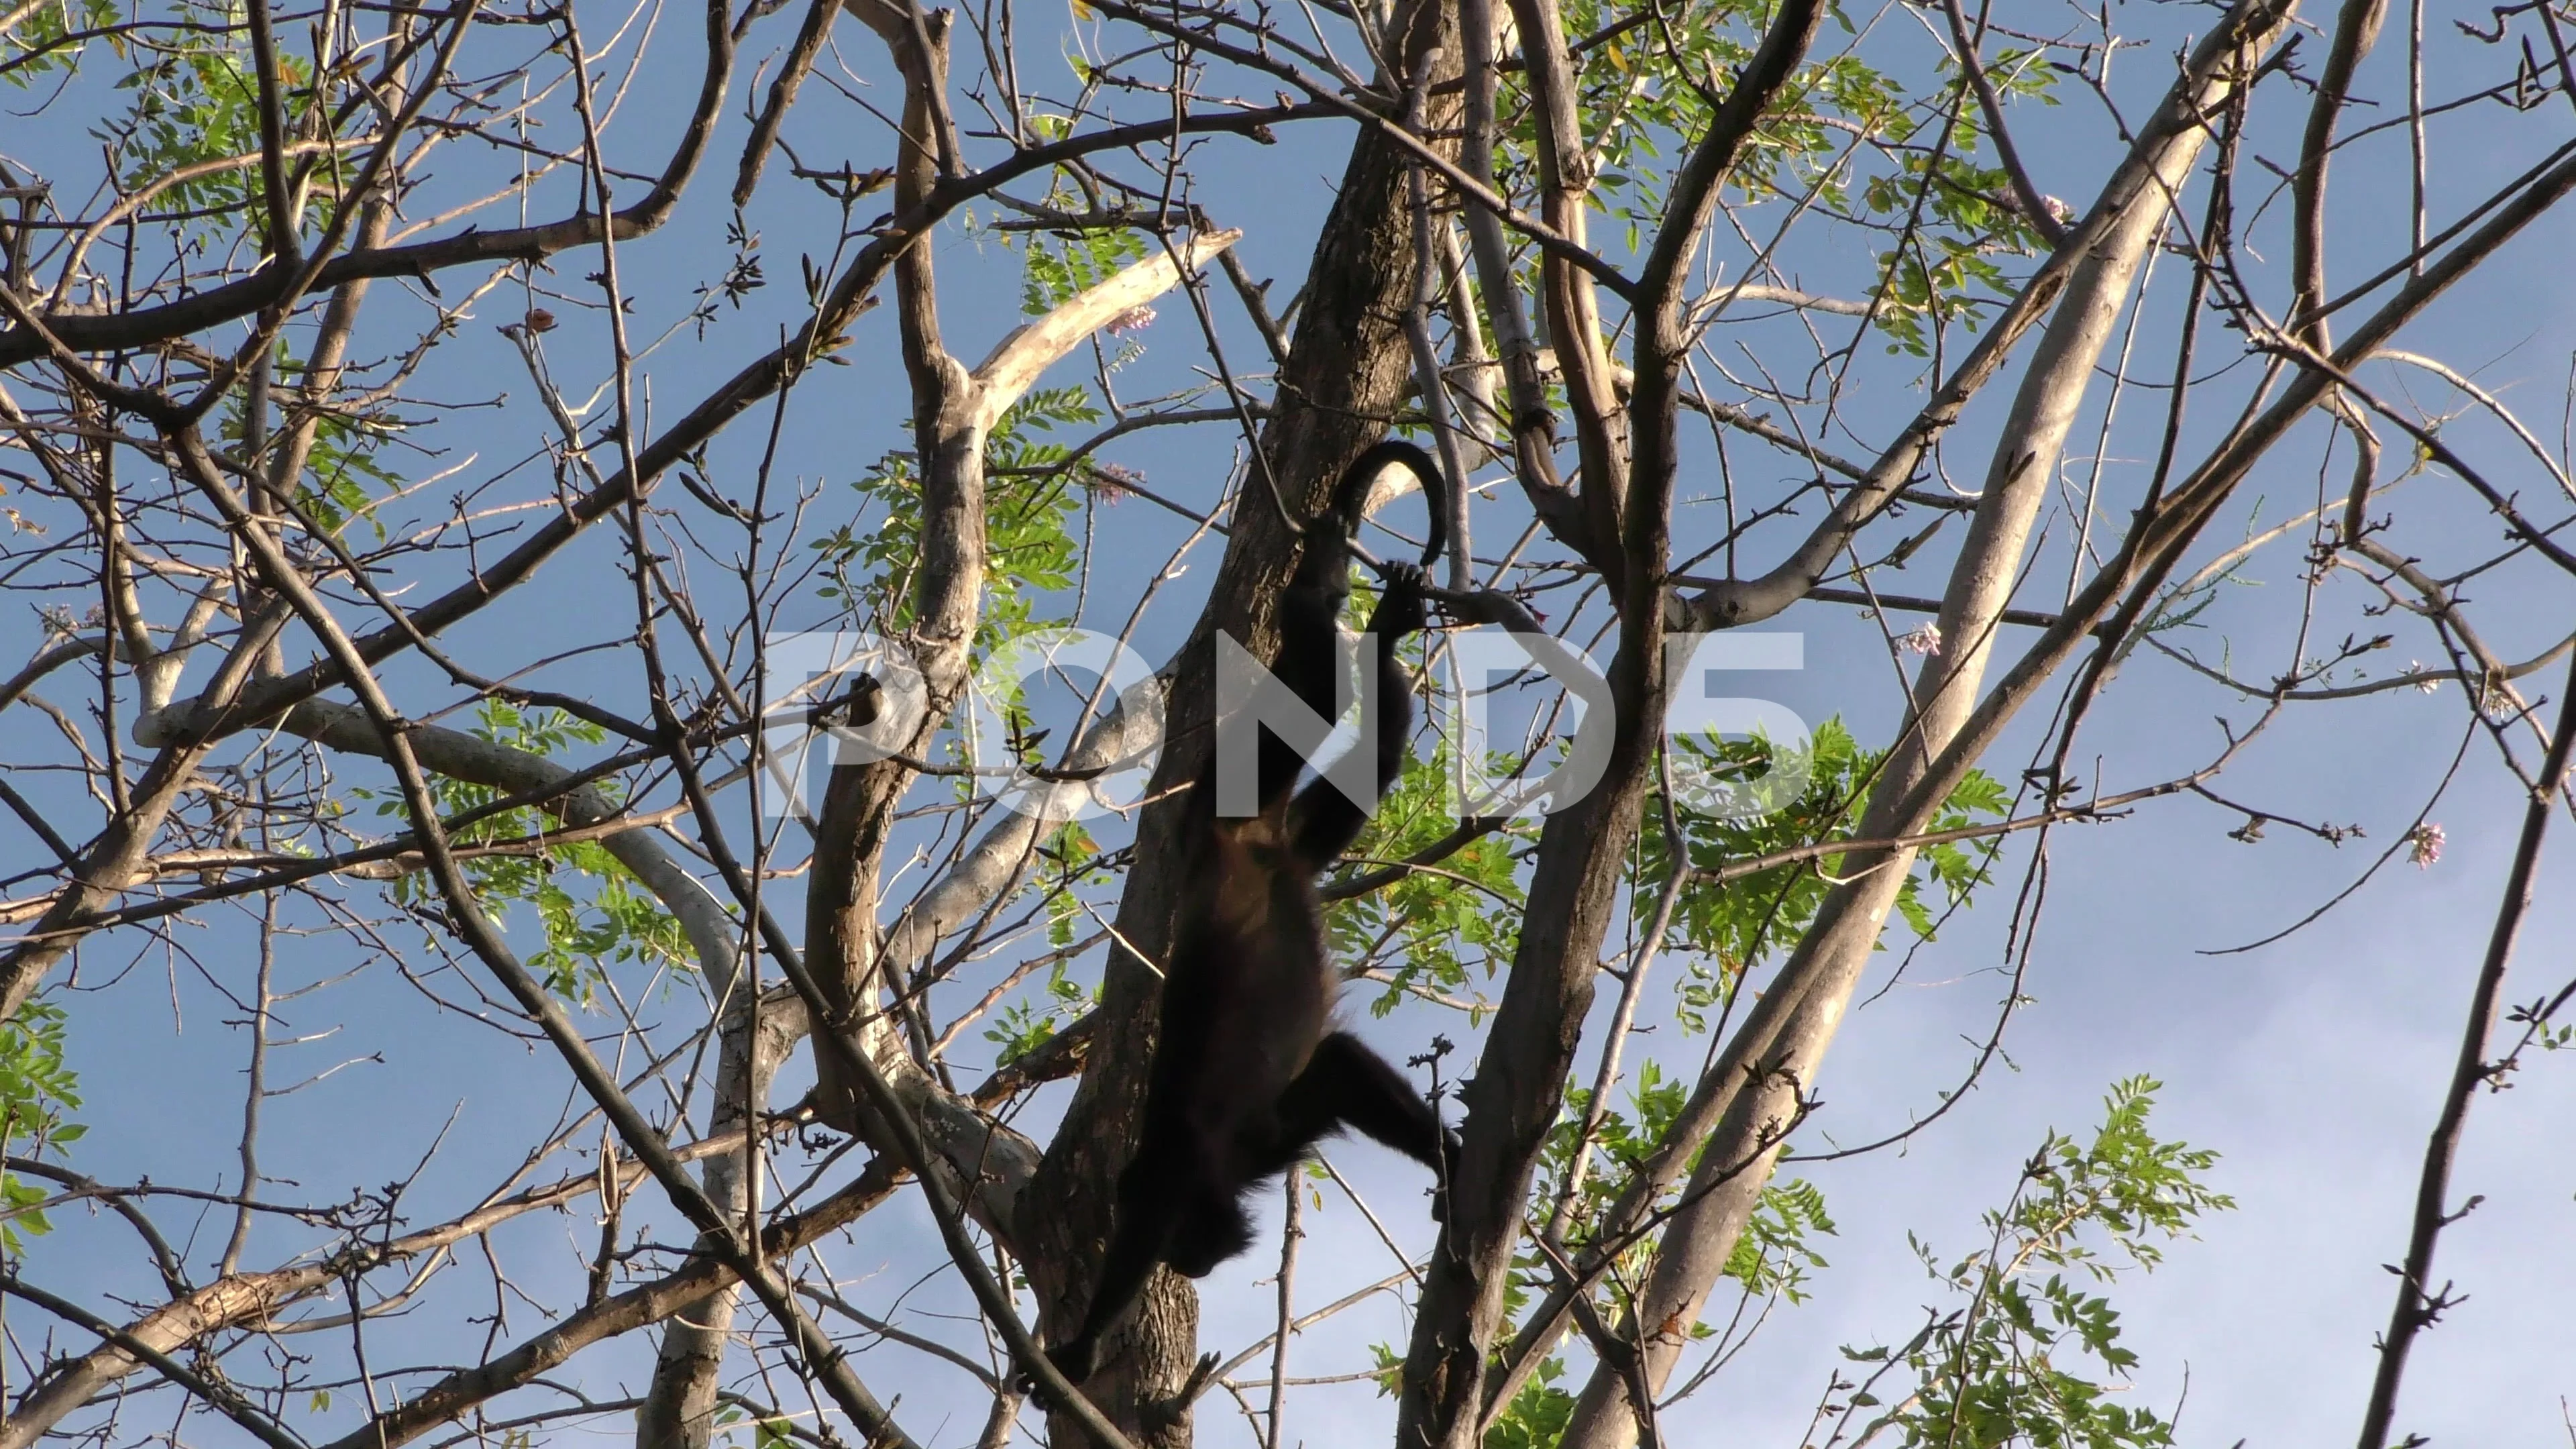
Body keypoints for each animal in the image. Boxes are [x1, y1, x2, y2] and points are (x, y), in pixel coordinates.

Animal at [1040, 440, 1462, 1388]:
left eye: (1183, 1250)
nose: (1193, 1266)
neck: (1220, 1170)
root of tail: (1235, 839)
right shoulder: (1273, 1131)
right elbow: (1339, 1068)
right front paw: (1449, 1157)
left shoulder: (1177, 1164)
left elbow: (1135, 1233)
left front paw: (1076, 1351)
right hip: (1294, 841)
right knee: (1377, 746)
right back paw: (1383, 633)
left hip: (1243, 784)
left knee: (1310, 695)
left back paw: (1326, 603)